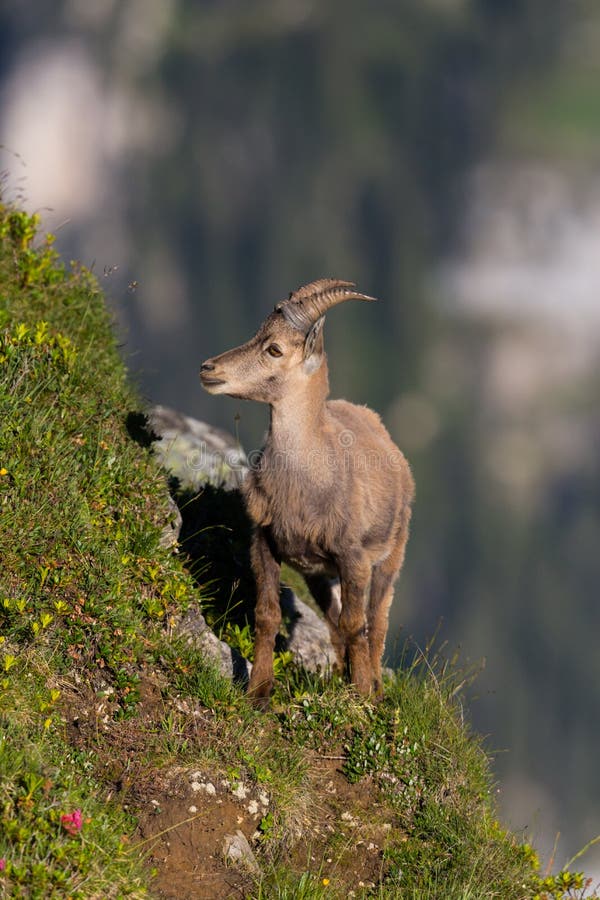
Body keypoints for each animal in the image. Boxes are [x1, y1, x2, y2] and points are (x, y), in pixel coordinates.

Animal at [200, 279, 414, 708]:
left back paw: (374, 688)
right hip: (318, 575)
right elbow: (267, 615)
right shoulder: (265, 542)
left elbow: (356, 623)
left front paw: (361, 697)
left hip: (390, 557)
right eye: (256, 335)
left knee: (376, 621)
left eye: (274, 349)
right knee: (333, 623)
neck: (304, 479)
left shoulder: (353, 558)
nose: (208, 368)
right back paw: (341, 676)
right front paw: (258, 692)